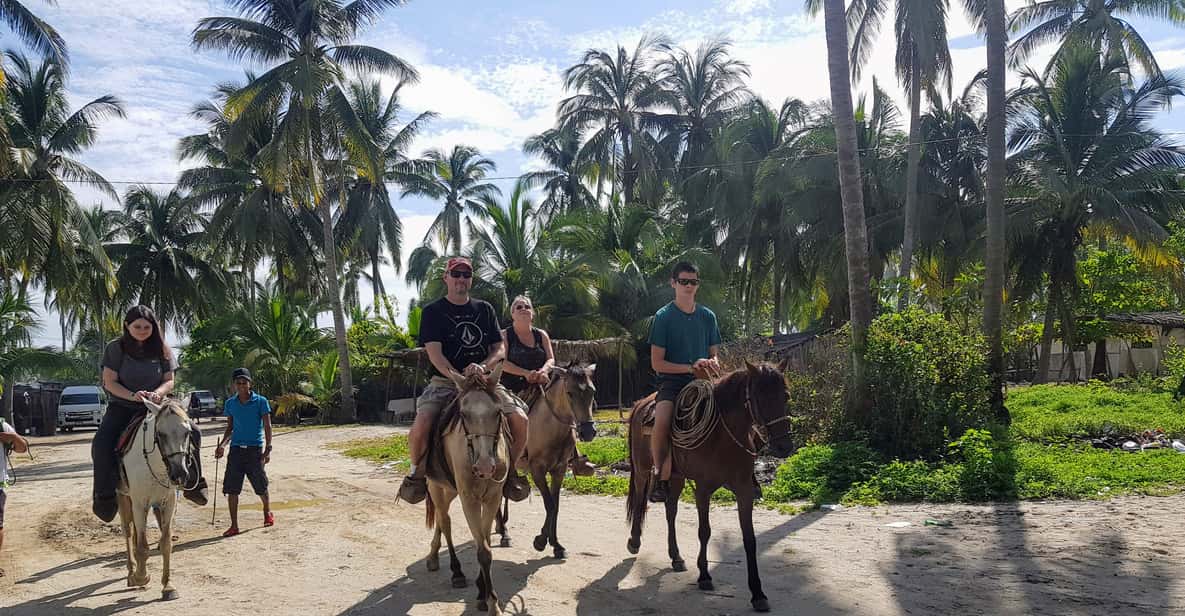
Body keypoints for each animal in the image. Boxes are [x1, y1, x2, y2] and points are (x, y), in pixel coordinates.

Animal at [117, 398, 199, 600]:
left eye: (188, 432)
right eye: (160, 434)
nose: (179, 474)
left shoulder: (168, 503)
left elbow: (166, 543)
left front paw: (168, 586)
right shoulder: (139, 504)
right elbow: (141, 547)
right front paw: (140, 577)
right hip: (123, 498)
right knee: (128, 532)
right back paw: (131, 573)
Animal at [424, 363, 512, 616]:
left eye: (498, 412)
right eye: (463, 414)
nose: (484, 466)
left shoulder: (492, 498)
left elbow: (486, 542)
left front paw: (483, 594)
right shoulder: (469, 500)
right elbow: (482, 550)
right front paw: (491, 603)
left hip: (450, 490)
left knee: (441, 520)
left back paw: (433, 556)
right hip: (436, 487)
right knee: (445, 522)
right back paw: (456, 571)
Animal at [493, 362, 598, 557]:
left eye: (592, 391)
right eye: (569, 392)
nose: (588, 432)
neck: (551, 426)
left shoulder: (559, 469)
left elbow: (555, 506)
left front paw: (556, 545)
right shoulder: (537, 470)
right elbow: (548, 504)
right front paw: (541, 541)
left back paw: (499, 527)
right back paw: (504, 533)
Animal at [625, 360, 794, 613]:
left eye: (785, 395)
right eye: (758, 397)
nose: (784, 447)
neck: (723, 436)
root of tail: (640, 404)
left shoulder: (744, 491)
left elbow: (750, 539)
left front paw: (757, 593)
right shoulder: (703, 489)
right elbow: (704, 531)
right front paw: (704, 575)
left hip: (676, 476)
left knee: (671, 511)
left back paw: (676, 557)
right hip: (643, 468)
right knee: (639, 501)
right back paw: (634, 542)